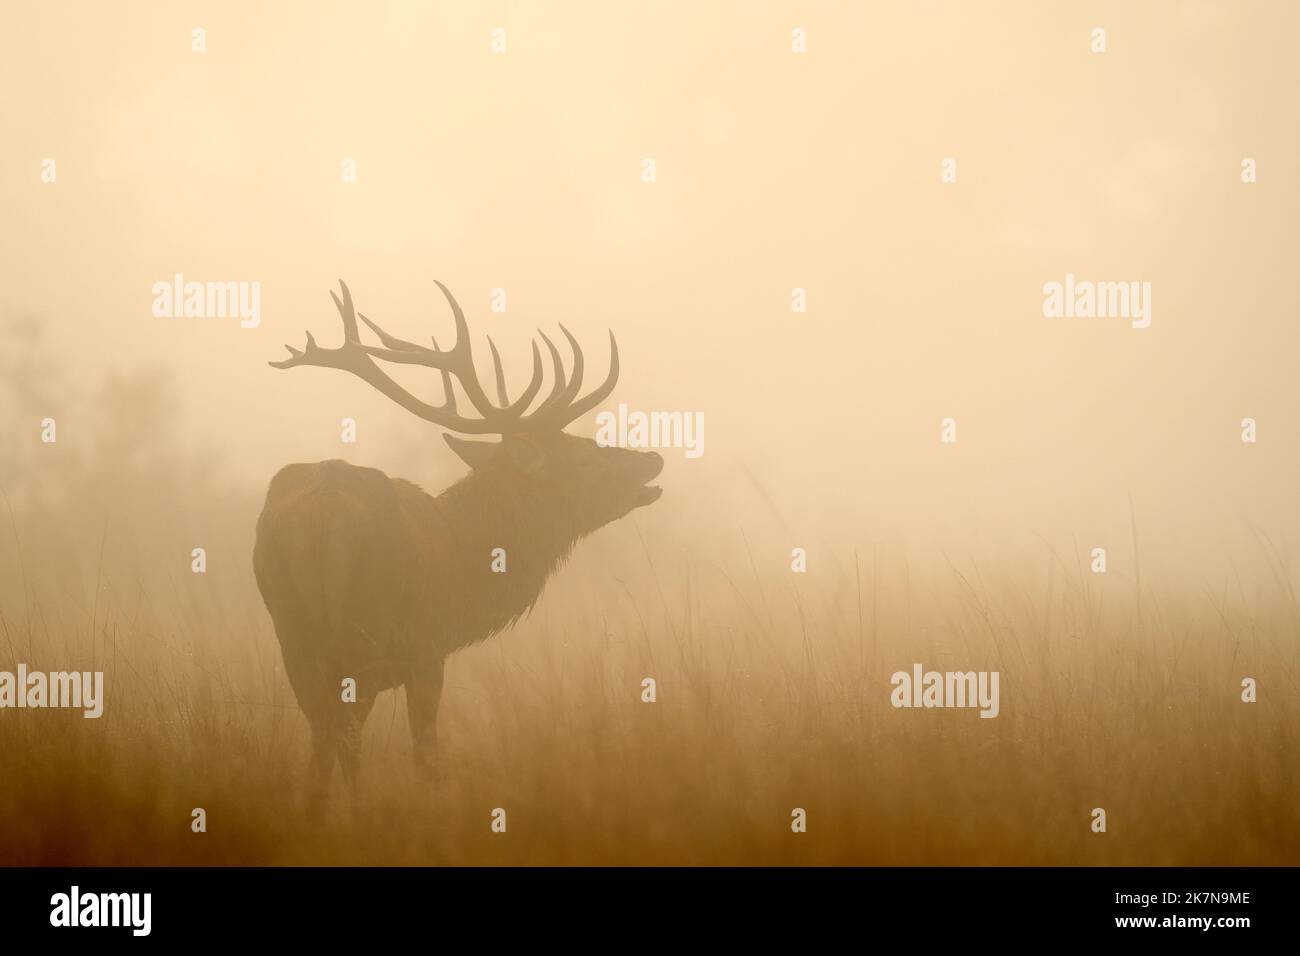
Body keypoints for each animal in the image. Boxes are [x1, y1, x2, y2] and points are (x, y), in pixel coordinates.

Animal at [252, 280, 663, 797]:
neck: (466, 571)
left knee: (322, 739)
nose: (652, 459)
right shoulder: (428, 647)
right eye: (582, 456)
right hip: (364, 634)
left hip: (293, 632)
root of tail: (325, 515)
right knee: (345, 737)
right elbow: (427, 755)